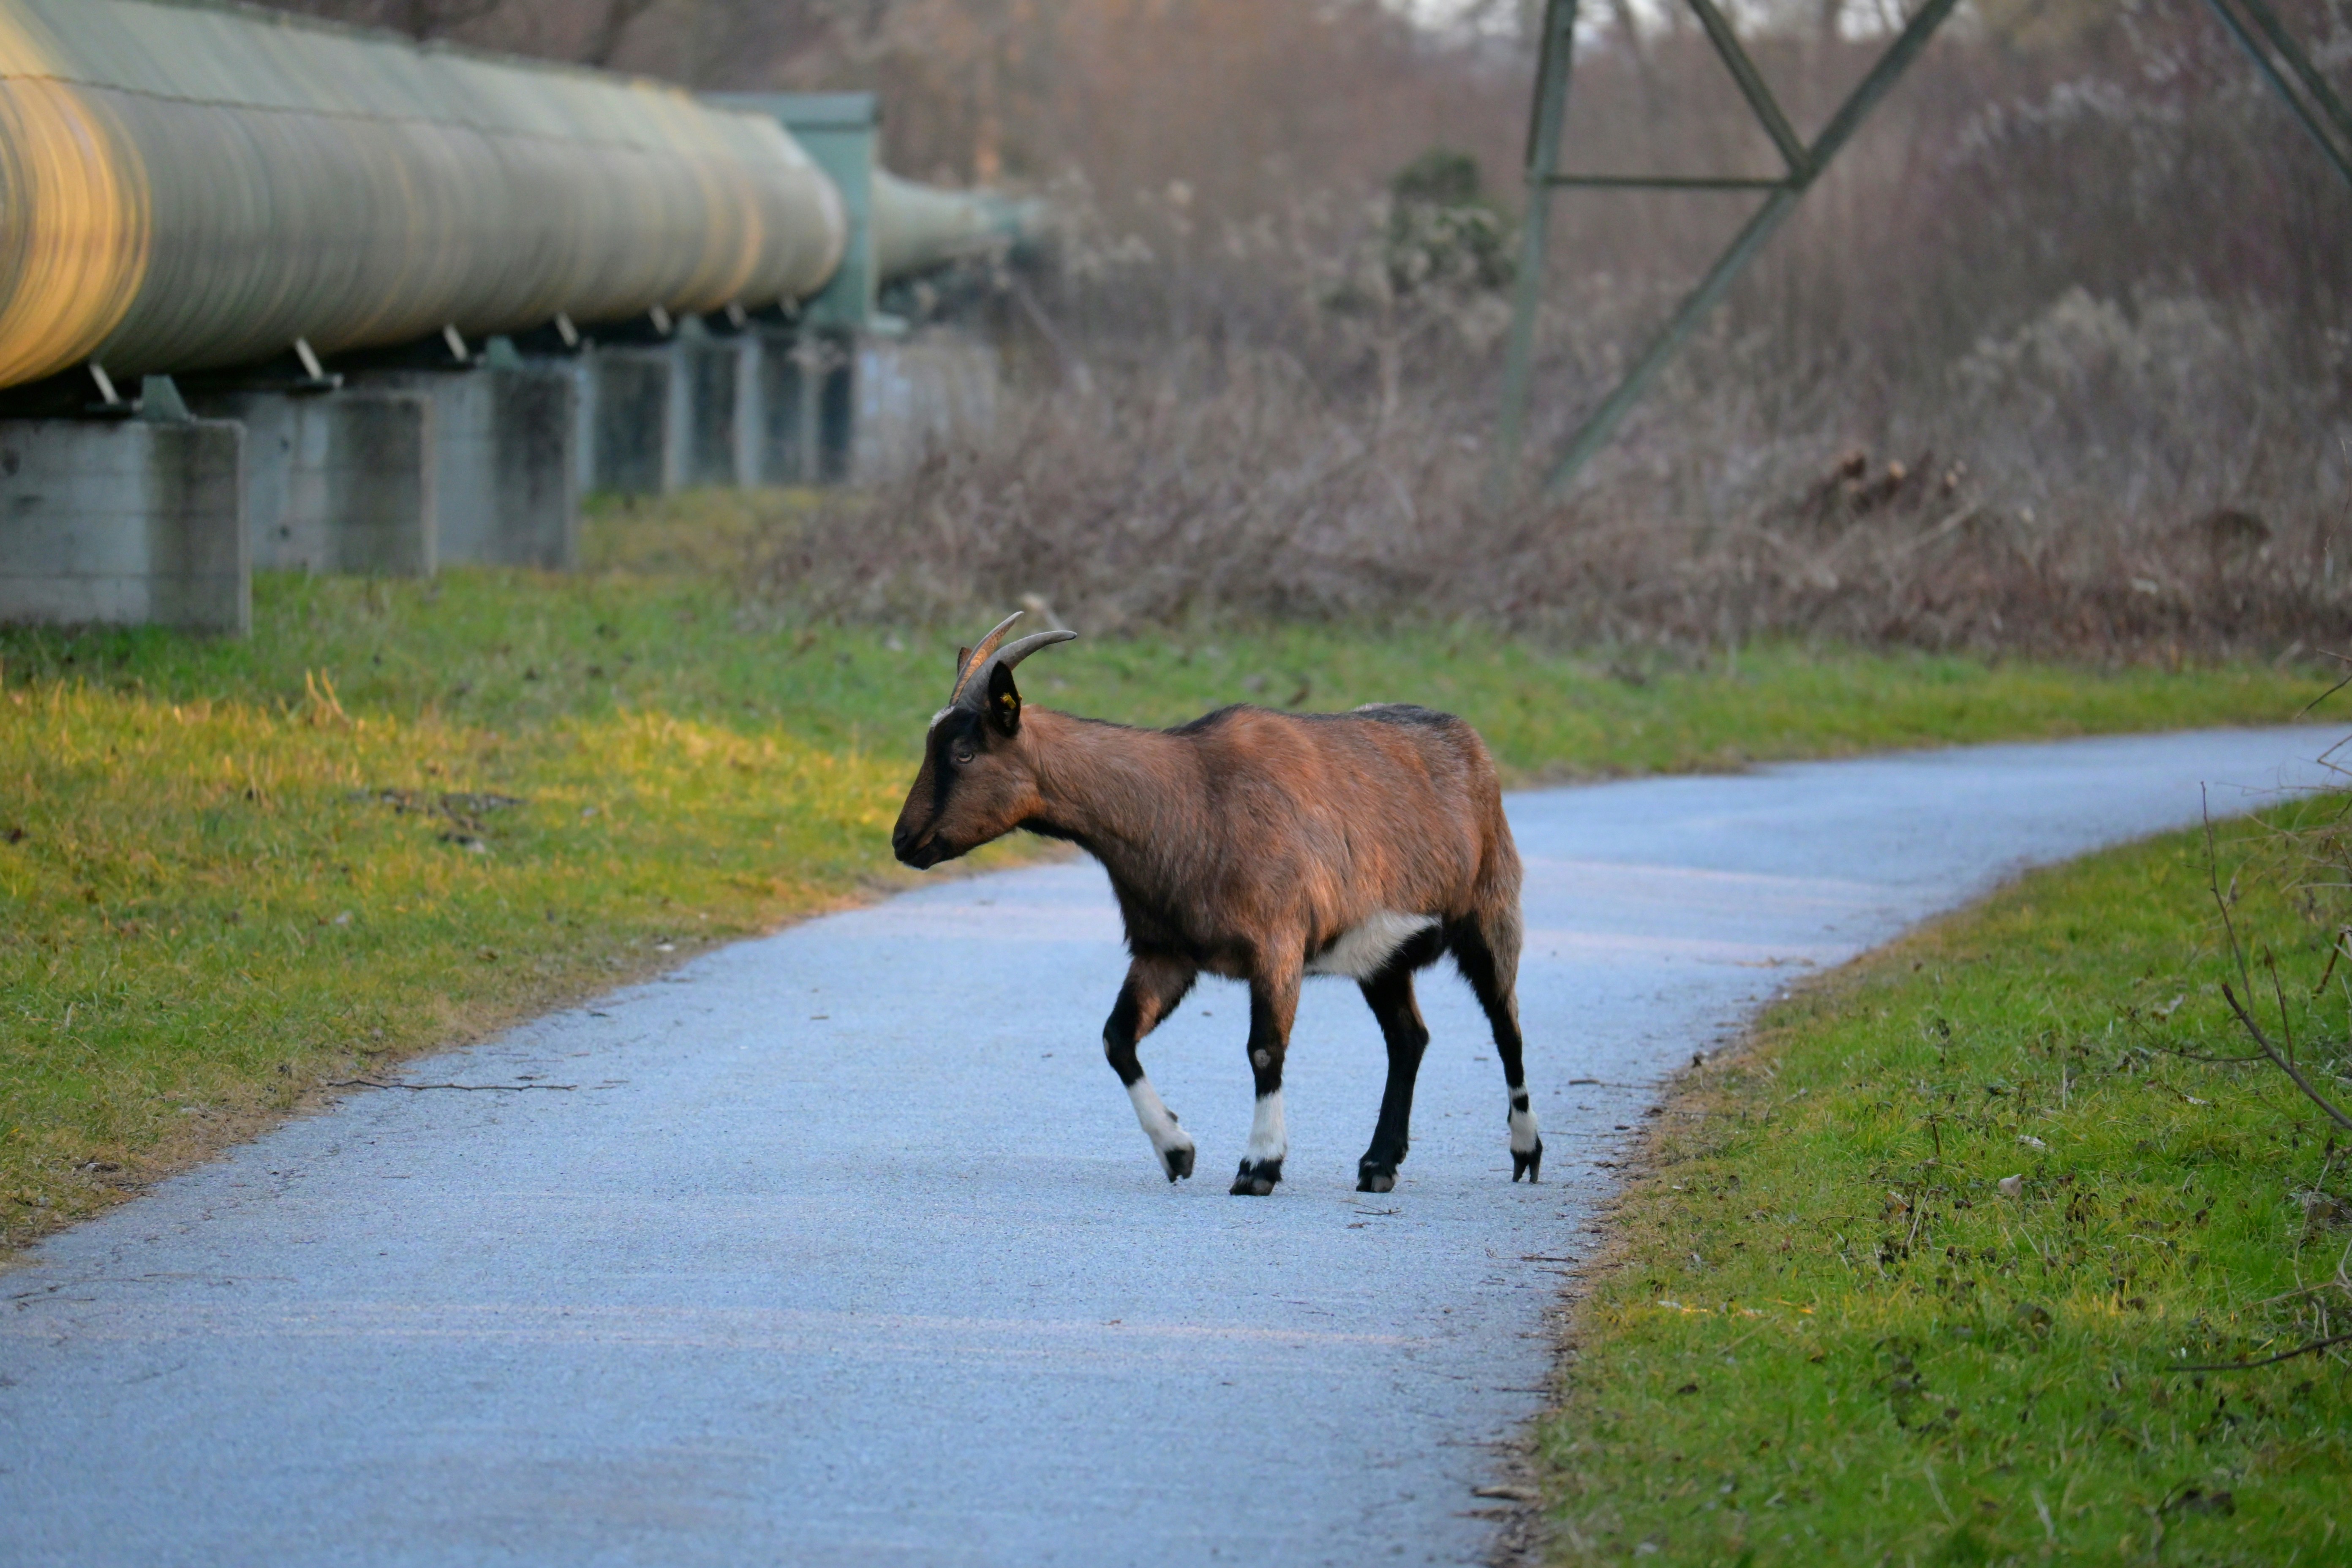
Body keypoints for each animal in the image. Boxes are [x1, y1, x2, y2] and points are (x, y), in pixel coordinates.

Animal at [890, 612, 1540, 1195]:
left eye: (965, 753)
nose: (903, 841)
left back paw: (1525, 1152)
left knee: (1506, 1026)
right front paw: (1177, 1150)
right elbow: (1116, 1038)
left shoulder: (1277, 946)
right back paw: (1378, 1165)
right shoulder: (1167, 952)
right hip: (1381, 954)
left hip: (1490, 914)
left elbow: (1264, 1050)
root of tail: (1469, 742)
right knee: (1409, 1038)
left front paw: (1259, 1166)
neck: (1190, 803)